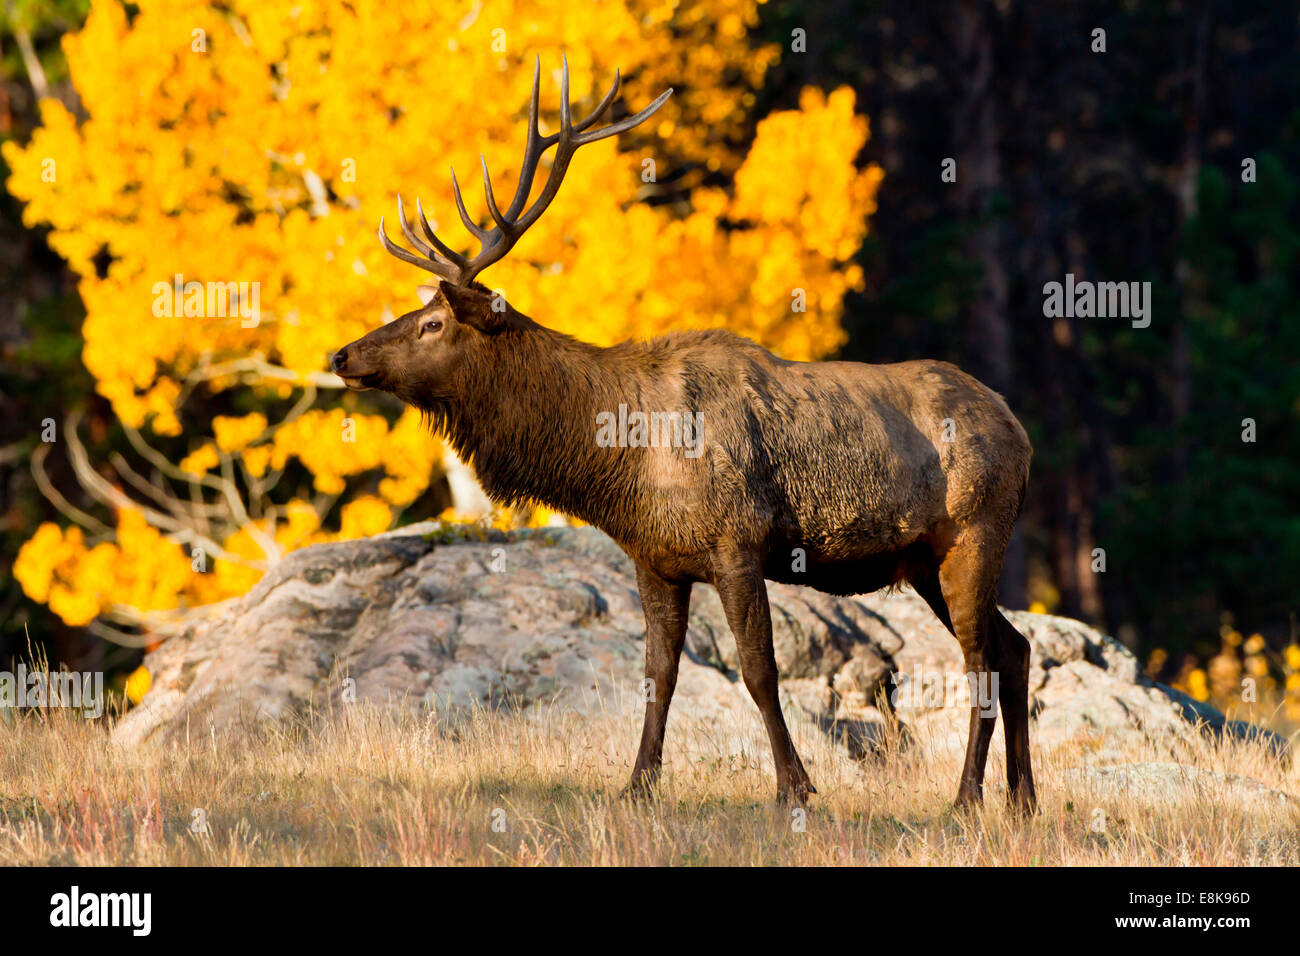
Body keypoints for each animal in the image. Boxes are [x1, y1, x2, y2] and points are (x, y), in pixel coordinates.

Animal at [332, 57, 1037, 812]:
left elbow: (758, 670)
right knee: (1016, 648)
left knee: (981, 661)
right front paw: (638, 784)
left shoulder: (738, 542)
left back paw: (966, 799)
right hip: (925, 560)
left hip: (972, 533)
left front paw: (795, 787)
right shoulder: (656, 559)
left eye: (432, 323)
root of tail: (1020, 431)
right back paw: (1023, 800)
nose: (342, 354)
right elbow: (658, 675)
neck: (621, 464)